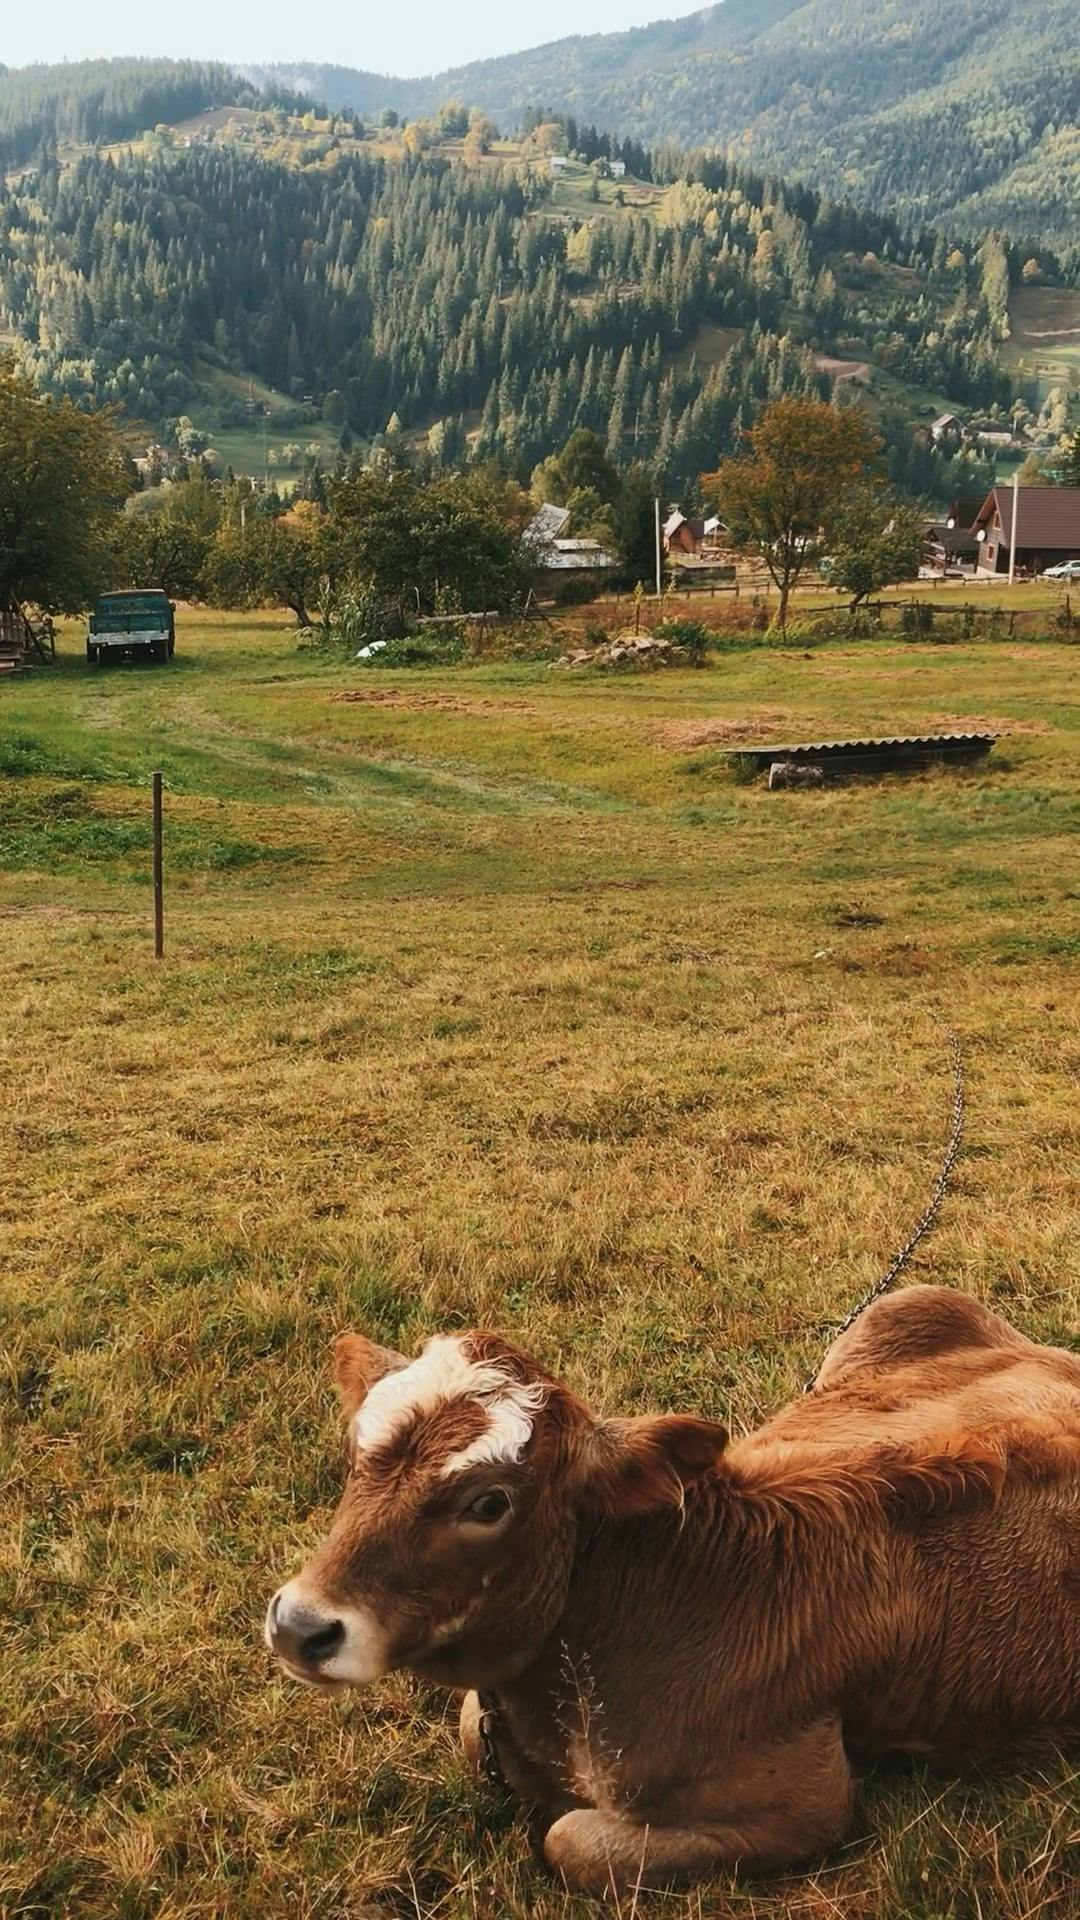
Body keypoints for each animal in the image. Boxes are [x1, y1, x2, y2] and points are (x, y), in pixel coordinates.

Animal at [265, 1286, 1080, 1895]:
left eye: (489, 1503)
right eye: (353, 1451)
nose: (300, 1626)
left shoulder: (810, 1804)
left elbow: (571, 1843)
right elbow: (470, 1728)